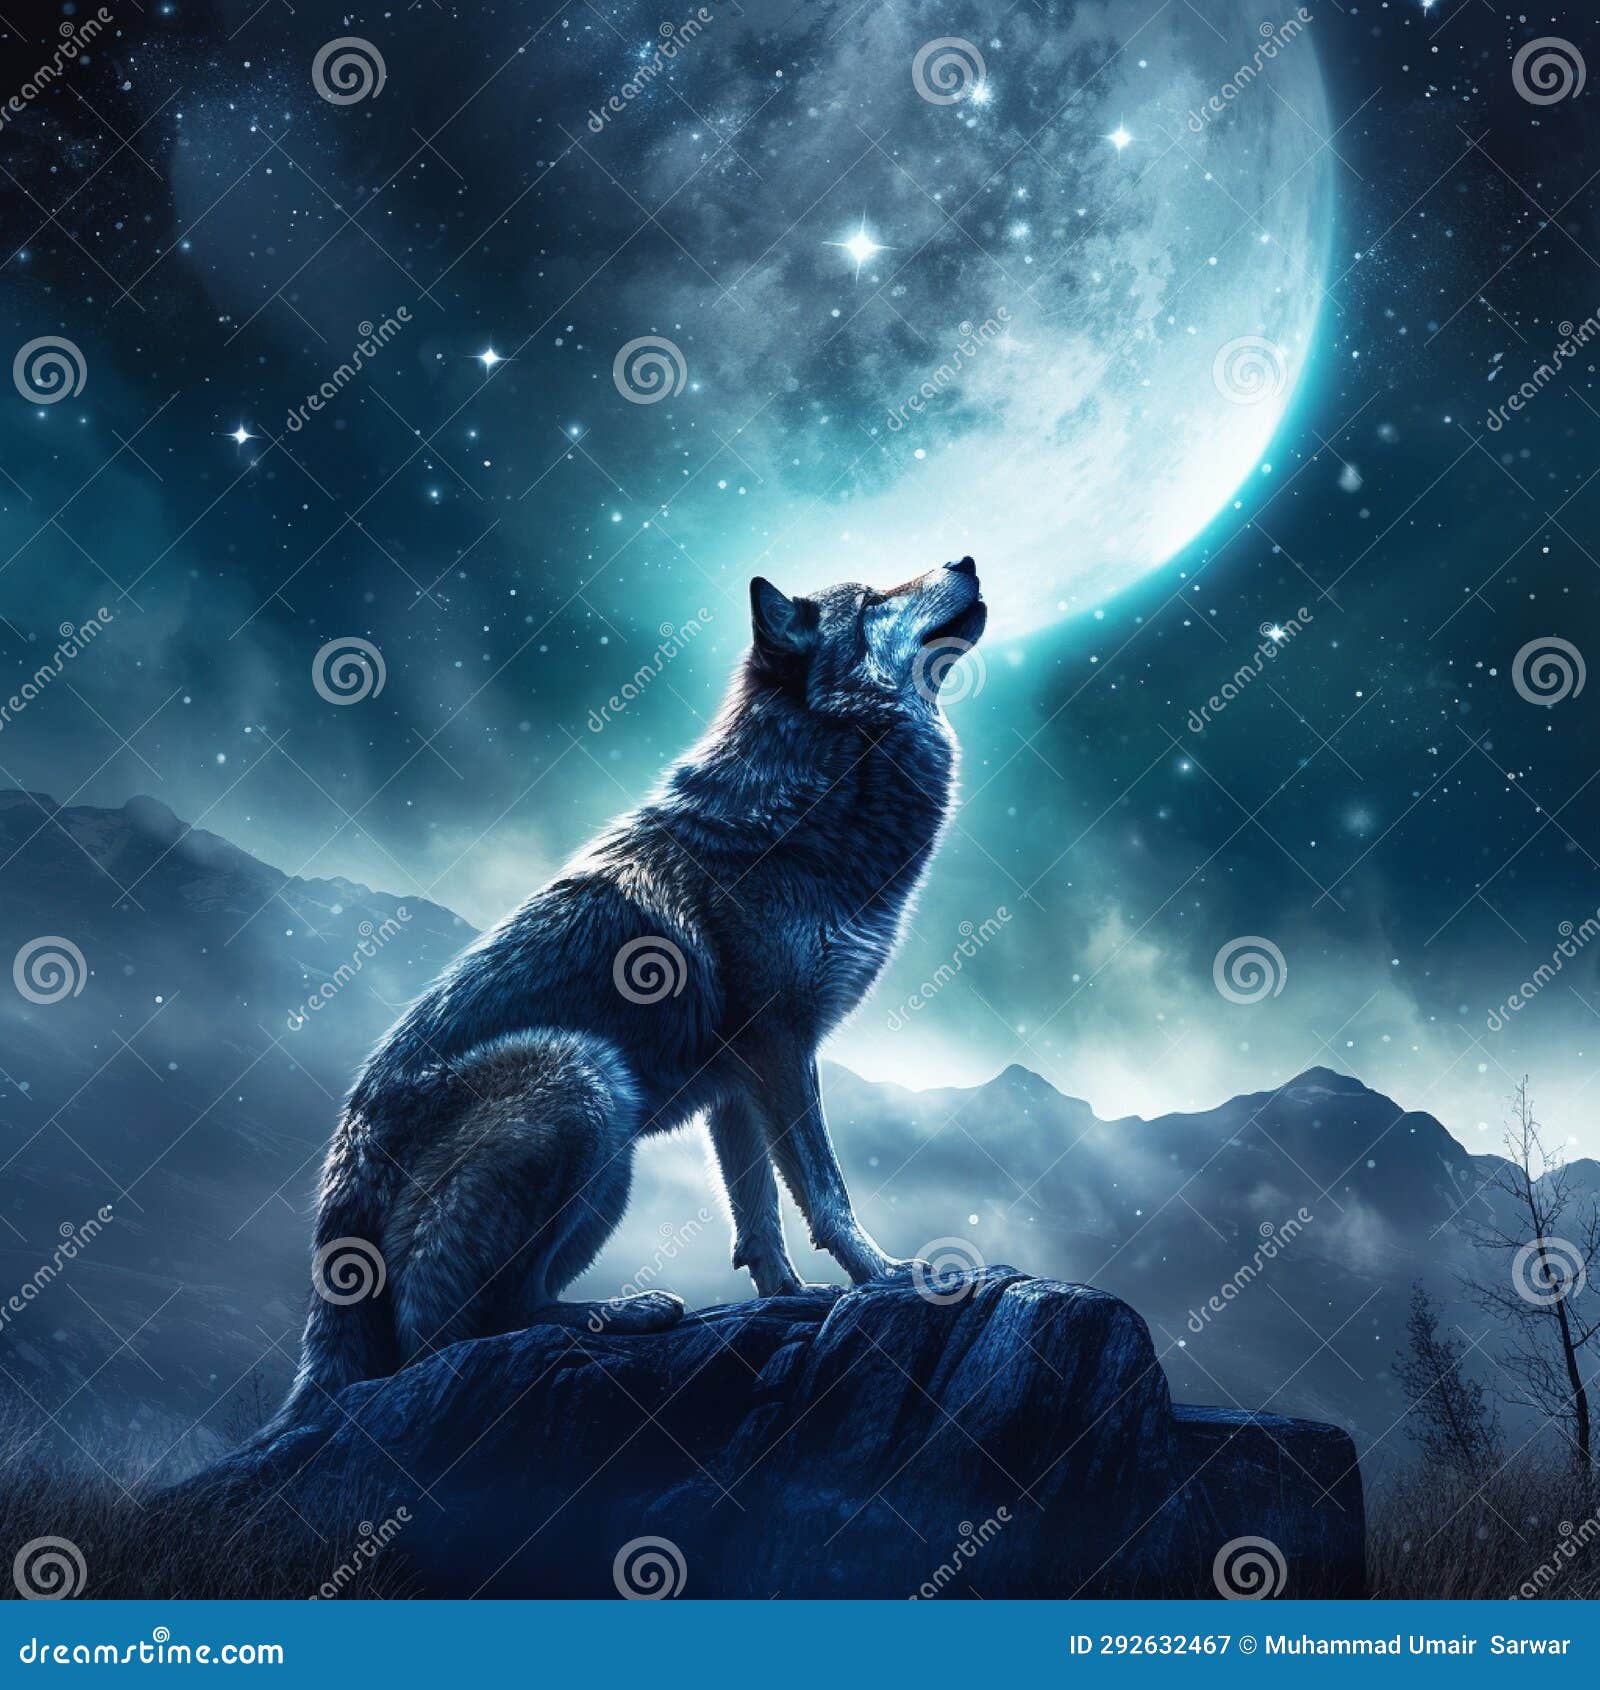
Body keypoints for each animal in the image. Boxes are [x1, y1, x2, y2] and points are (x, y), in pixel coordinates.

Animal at [266, 556, 986, 1433]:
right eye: (879, 594)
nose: (967, 562)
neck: (808, 795)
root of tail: (340, 1195)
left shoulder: (740, 1082)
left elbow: (758, 1211)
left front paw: (788, 1296)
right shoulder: (782, 1047)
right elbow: (824, 1192)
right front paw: (882, 1274)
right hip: (586, 1082)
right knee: (450, 1331)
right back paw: (625, 1312)